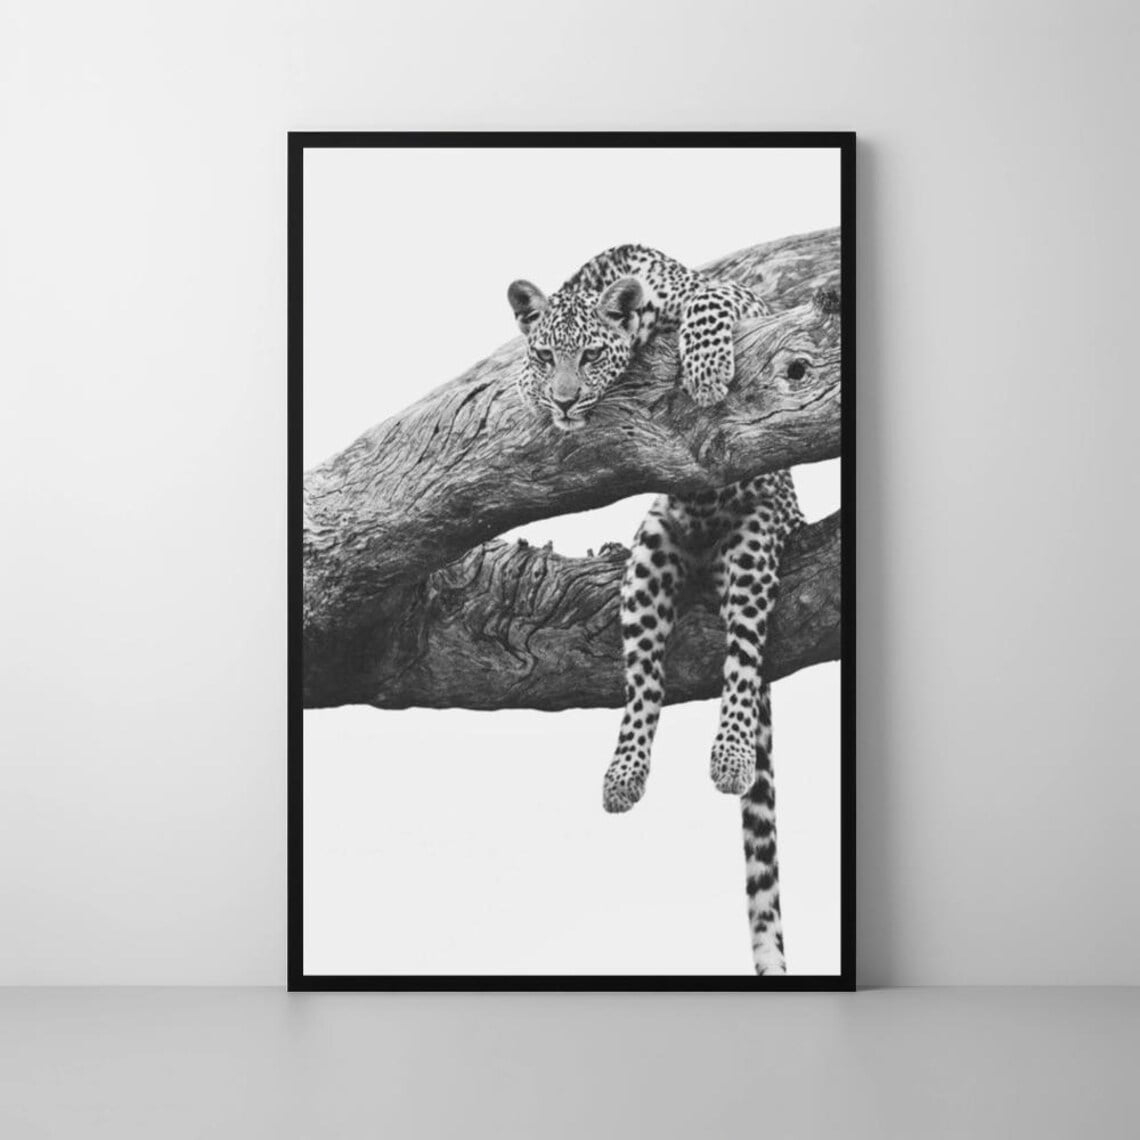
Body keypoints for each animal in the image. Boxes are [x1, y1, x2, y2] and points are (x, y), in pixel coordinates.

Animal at [508, 245, 805, 976]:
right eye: (546, 355)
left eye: (590, 356)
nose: (565, 400)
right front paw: (528, 390)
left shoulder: (743, 302)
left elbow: (712, 303)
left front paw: (705, 372)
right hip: (651, 551)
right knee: (644, 682)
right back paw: (623, 776)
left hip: (757, 536)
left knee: (743, 658)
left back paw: (730, 755)